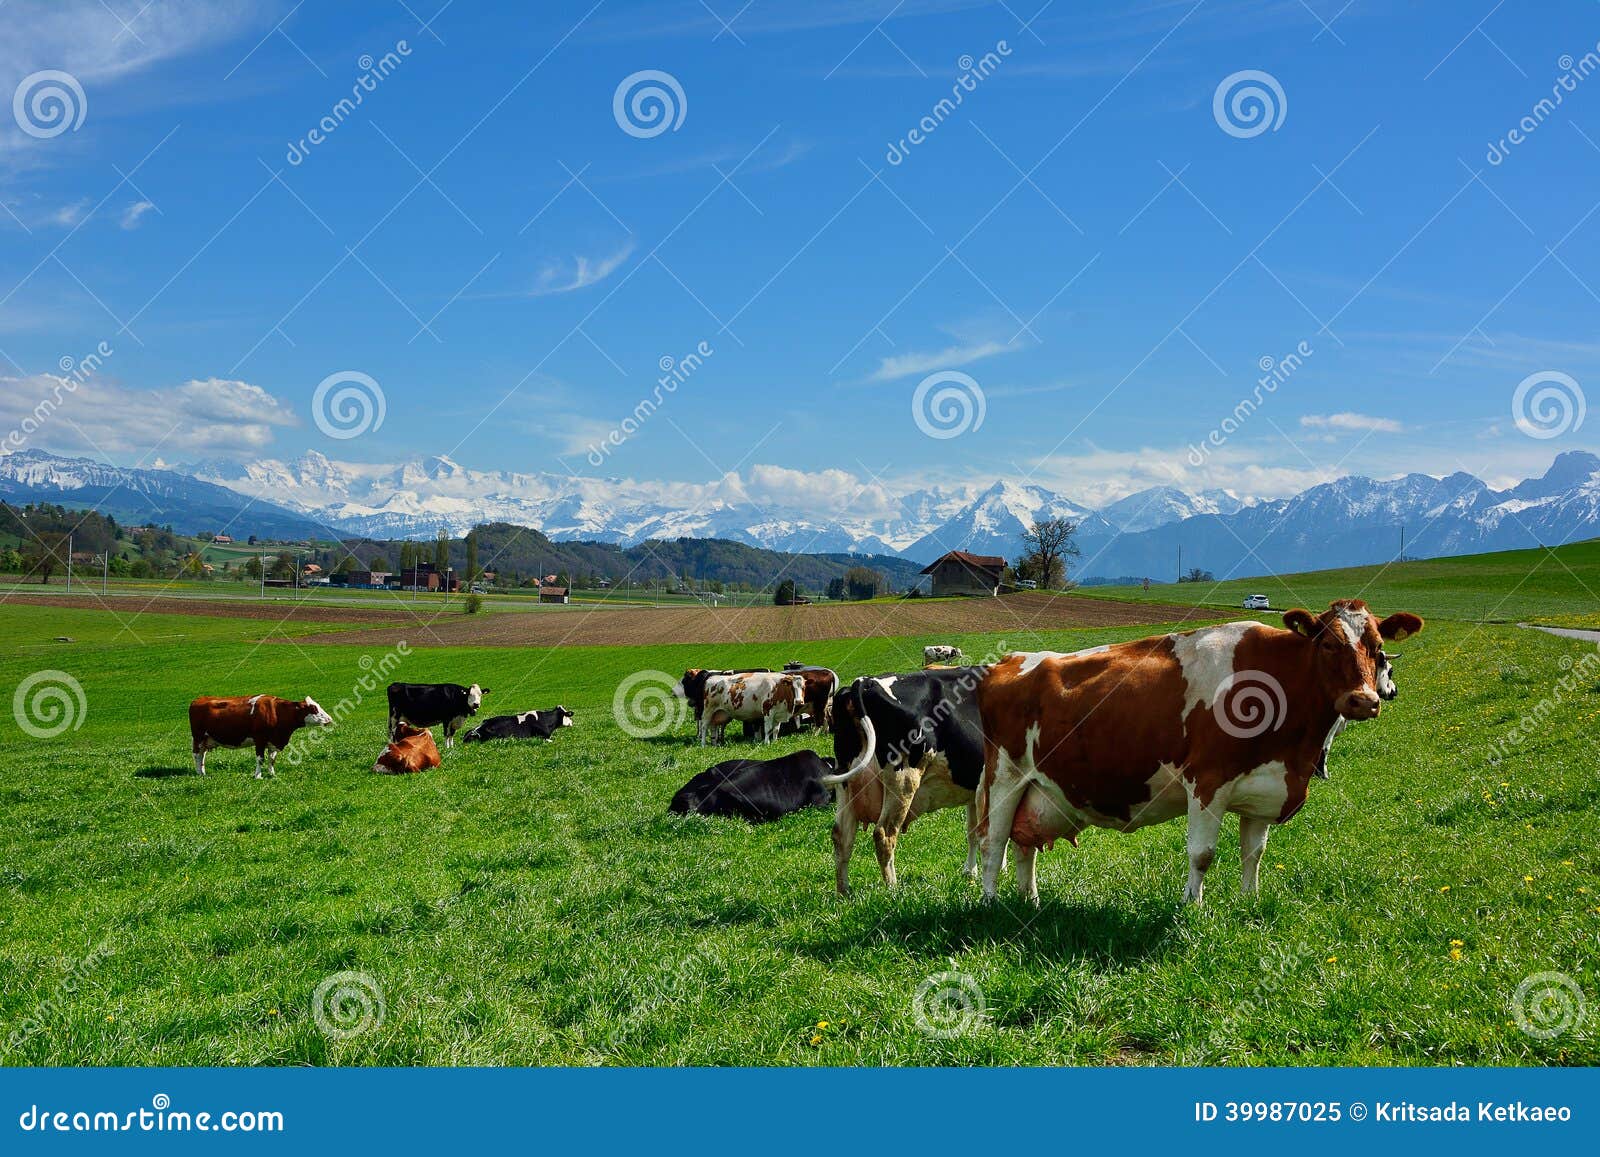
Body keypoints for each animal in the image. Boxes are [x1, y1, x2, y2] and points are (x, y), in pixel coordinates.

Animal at [188, 694, 333, 778]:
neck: (277, 712)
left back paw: (203, 772)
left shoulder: (273, 741)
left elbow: (272, 759)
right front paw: (258, 775)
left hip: (207, 739)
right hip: (198, 736)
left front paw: (272, 774)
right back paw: (198, 773)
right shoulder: (260, 739)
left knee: (202, 754)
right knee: (196, 754)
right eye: (313, 708)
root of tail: (198, 699)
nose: (329, 719)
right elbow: (260, 759)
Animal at [820, 667, 1000, 895]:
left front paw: (971, 873)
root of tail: (865, 682)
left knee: (841, 836)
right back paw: (893, 890)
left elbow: (974, 831)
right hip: (903, 779)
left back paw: (844, 893)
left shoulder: (976, 788)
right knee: (884, 834)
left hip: (847, 783)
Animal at [975, 599, 1424, 907]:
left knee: (1024, 844)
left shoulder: (1265, 786)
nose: (1363, 701)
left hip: (1038, 789)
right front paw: (1193, 905)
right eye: (1328, 644)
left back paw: (1030, 900)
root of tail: (1009, 660)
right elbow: (1203, 853)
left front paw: (1249, 902)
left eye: (1378, 648)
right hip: (1004, 777)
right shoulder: (1208, 780)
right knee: (993, 841)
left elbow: (1254, 853)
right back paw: (991, 904)